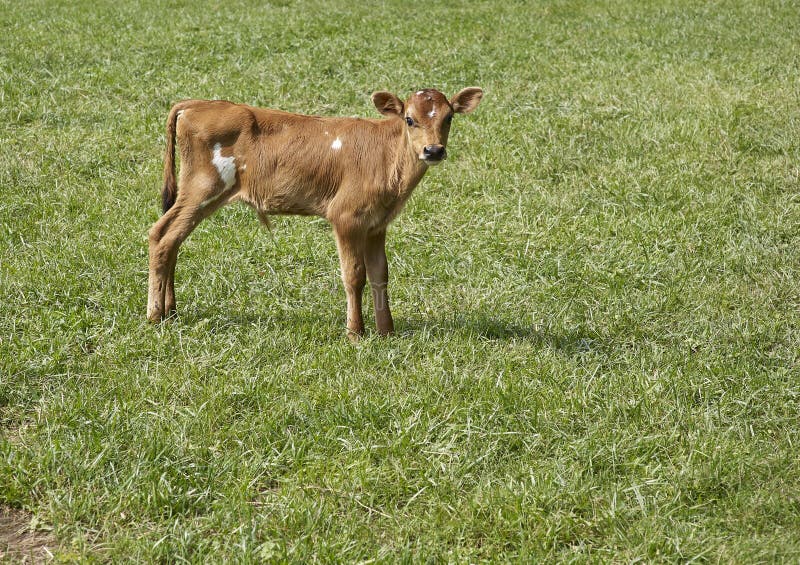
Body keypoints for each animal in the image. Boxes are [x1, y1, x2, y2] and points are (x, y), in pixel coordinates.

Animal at [147, 87, 483, 338]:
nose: (433, 150)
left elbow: (380, 274)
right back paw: (155, 315)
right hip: (202, 187)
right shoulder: (346, 217)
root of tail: (196, 104)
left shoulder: (377, 224)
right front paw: (355, 332)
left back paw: (171, 311)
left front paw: (386, 331)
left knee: (173, 239)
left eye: (449, 118)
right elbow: (354, 275)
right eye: (410, 119)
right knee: (161, 235)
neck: (388, 160)